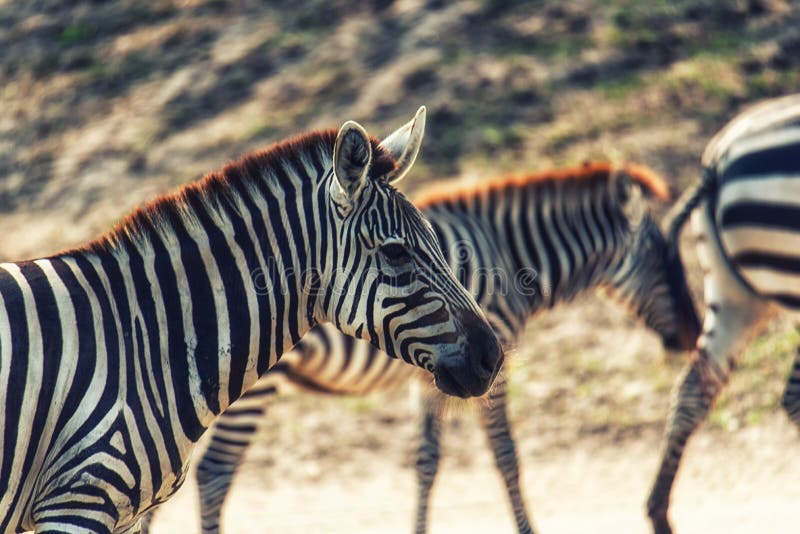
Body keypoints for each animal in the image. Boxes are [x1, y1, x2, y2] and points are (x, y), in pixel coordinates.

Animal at [145, 161, 702, 534]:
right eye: (662, 254)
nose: (694, 334)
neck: (507, 250)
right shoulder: (489, 363)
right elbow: (506, 455)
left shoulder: (436, 371)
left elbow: (426, 463)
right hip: (254, 389)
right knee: (214, 472)